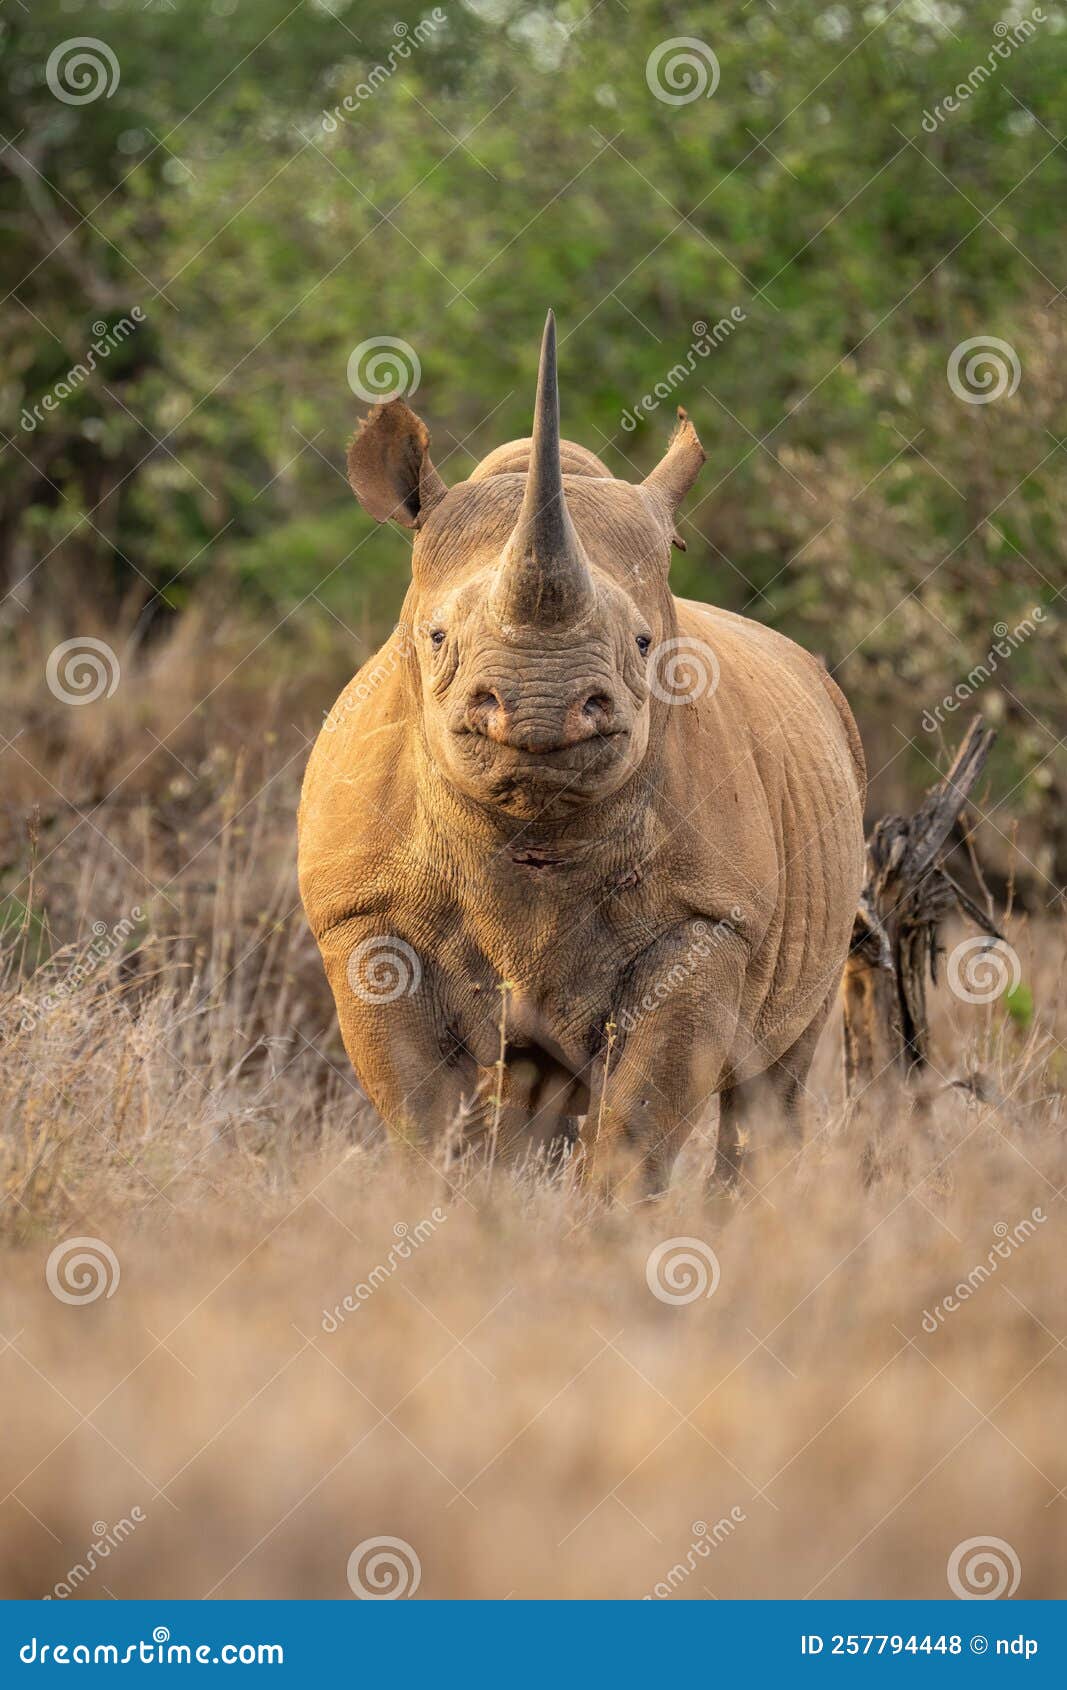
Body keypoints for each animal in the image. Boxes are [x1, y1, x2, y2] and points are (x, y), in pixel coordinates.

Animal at [298, 313, 866, 1198]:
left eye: (642, 643)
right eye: (436, 637)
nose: (540, 705)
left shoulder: (707, 920)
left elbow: (638, 1125)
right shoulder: (362, 913)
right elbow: (421, 1117)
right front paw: (441, 1213)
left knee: (773, 1076)